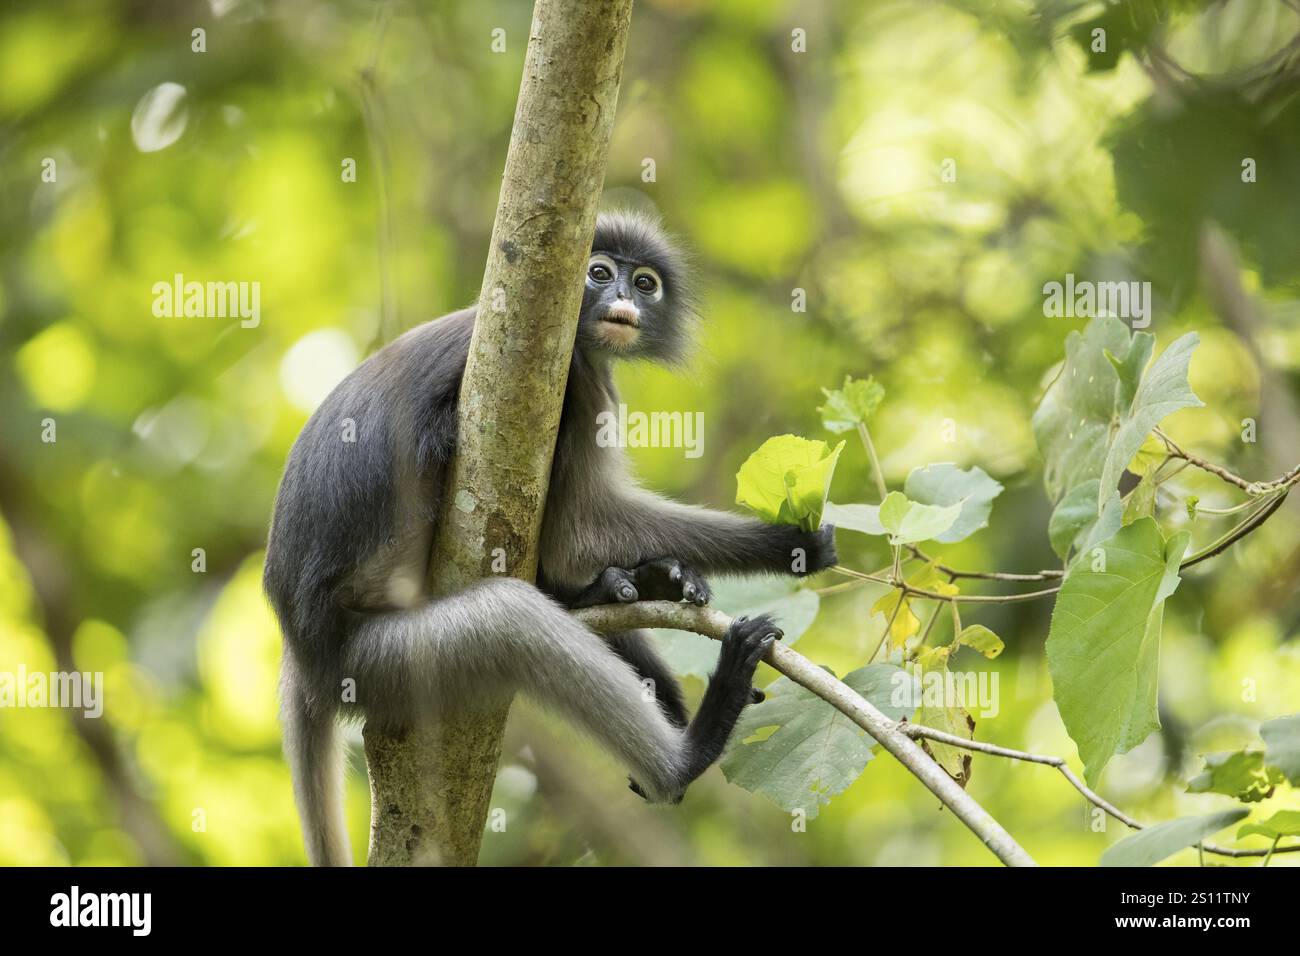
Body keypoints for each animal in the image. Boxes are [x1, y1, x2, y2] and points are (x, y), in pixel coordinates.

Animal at [263, 211, 837, 866]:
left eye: (644, 283)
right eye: (599, 273)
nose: (622, 300)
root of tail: (300, 646)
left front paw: (654, 580)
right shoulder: (574, 381)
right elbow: (576, 531)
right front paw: (787, 545)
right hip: (377, 664)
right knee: (508, 619)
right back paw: (685, 755)